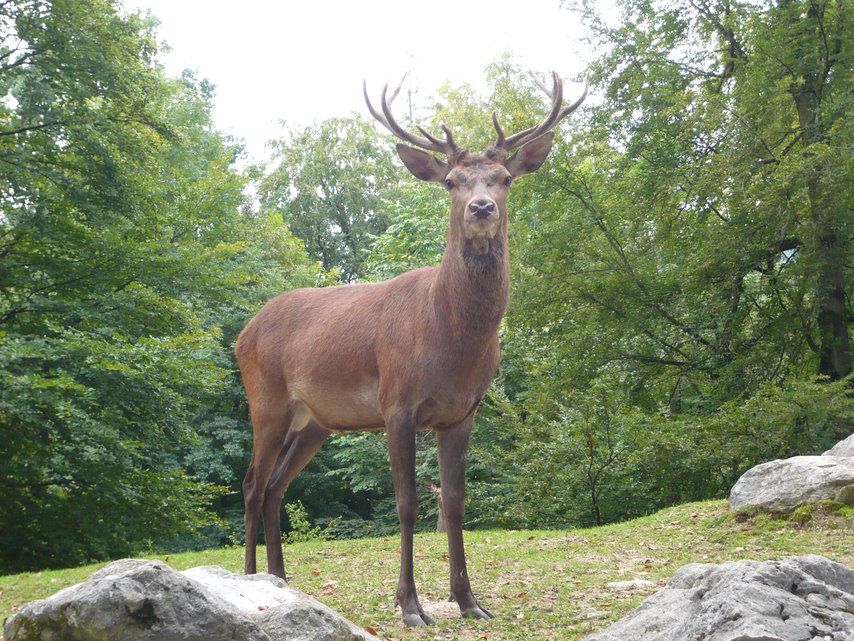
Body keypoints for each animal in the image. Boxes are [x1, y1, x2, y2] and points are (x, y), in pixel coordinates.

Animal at [235, 71, 586, 627]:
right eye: (452, 182)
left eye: (504, 178)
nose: (481, 208)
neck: (452, 341)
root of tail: (243, 333)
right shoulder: (396, 404)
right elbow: (407, 503)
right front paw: (410, 606)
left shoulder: (462, 411)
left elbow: (456, 502)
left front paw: (470, 602)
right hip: (265, 400)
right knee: (252, 484)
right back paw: (250, 580)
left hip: (315, 421)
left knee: (275, 486)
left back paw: (282, 580)